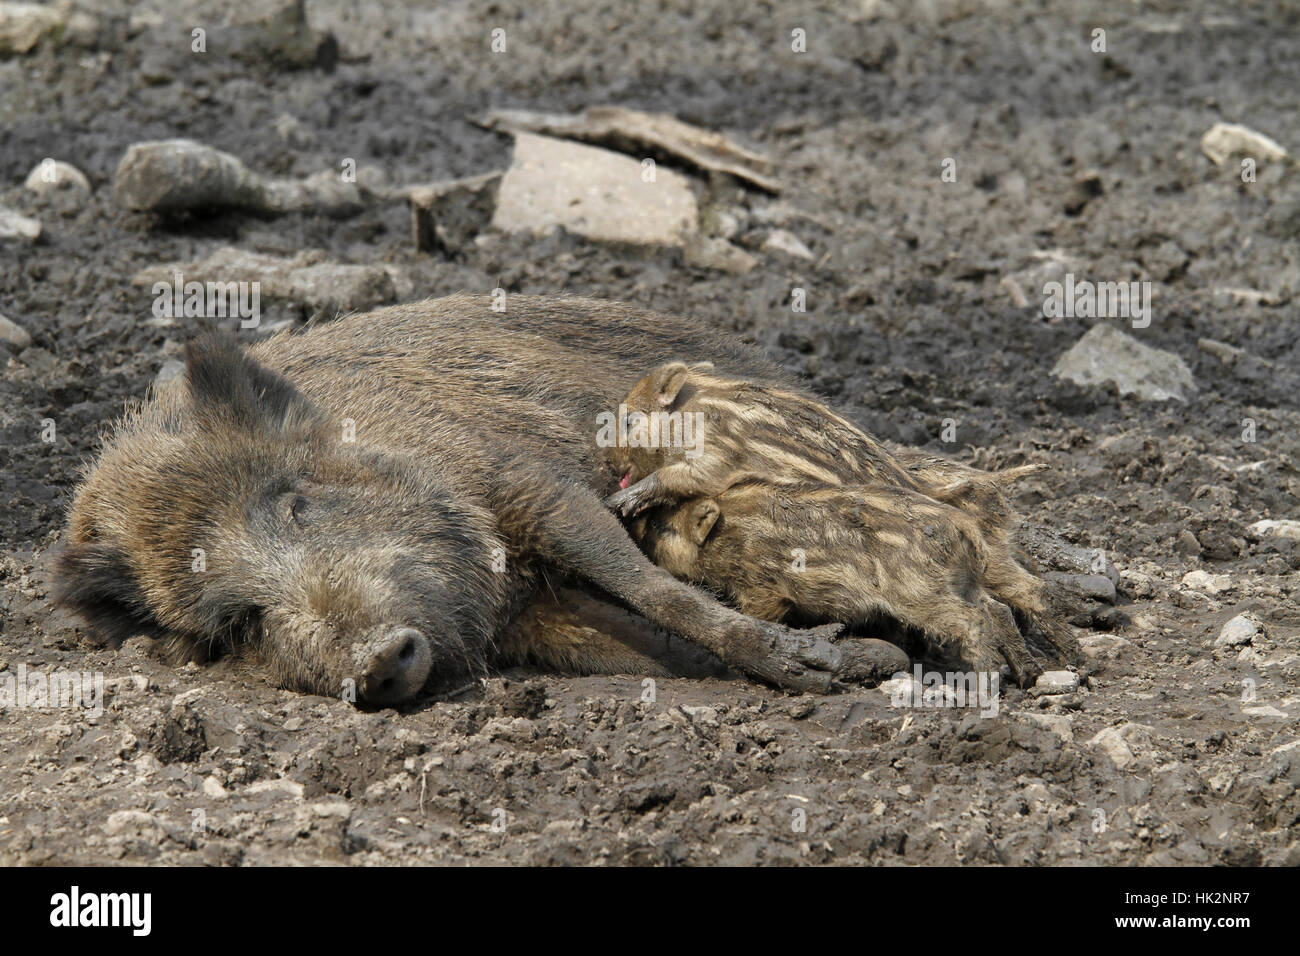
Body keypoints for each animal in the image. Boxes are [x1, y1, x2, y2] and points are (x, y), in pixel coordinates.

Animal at [54, 295, 854, 704]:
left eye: (296, 504)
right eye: (239, 622)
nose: (375, 660)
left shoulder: (523, 480)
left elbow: (648, 586)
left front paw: (835, 668)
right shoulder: (529, 621)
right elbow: (644, 648)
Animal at [627, 480, 1076, 683]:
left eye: (663, 528)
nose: (631, 523)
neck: (728, 535)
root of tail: (965, 528)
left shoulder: (764, 588)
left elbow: (761, 618)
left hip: (919, 592)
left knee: (974, 619)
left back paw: (987, 680)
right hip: (965, 582)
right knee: (1008, 604)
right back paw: (1049, 669)